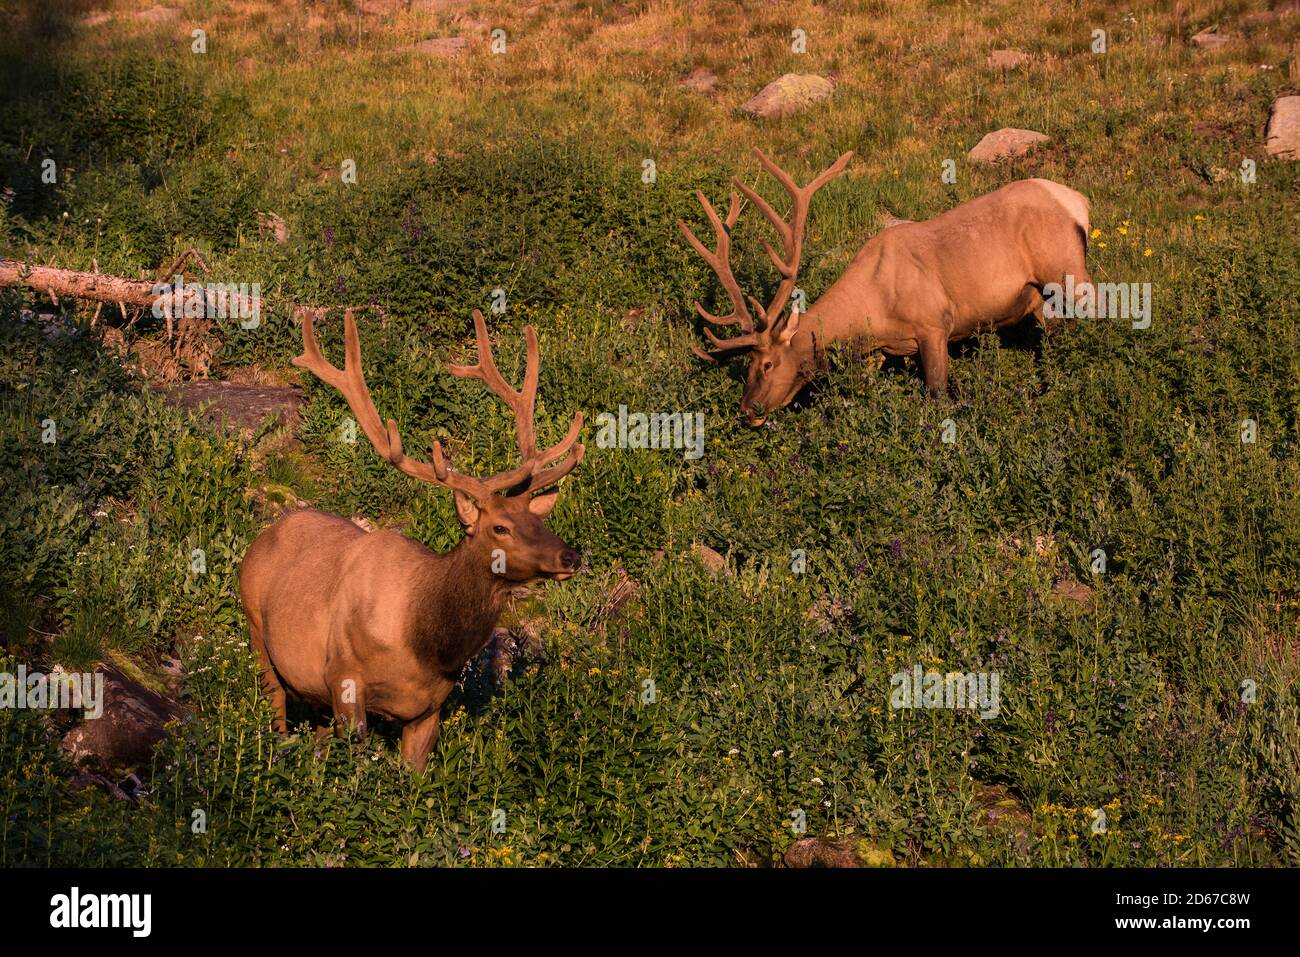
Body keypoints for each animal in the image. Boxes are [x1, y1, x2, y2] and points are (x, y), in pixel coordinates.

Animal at [238, 307, 584, 772]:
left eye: (538, 519)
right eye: (500, 527)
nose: (570, 557)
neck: (424, 644)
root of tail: (264, 537)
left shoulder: (429, 709)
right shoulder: (343, 677)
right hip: (259, 634)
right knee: (274, 710)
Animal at [678, 149, 1092, 425]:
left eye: (767, 364)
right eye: (746, 366)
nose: (746, 411)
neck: (874, 310)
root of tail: (1080, 202)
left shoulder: (934, 325)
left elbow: (938, 396)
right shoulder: (876, 353)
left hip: (1068, 275)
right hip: (1039, 299)